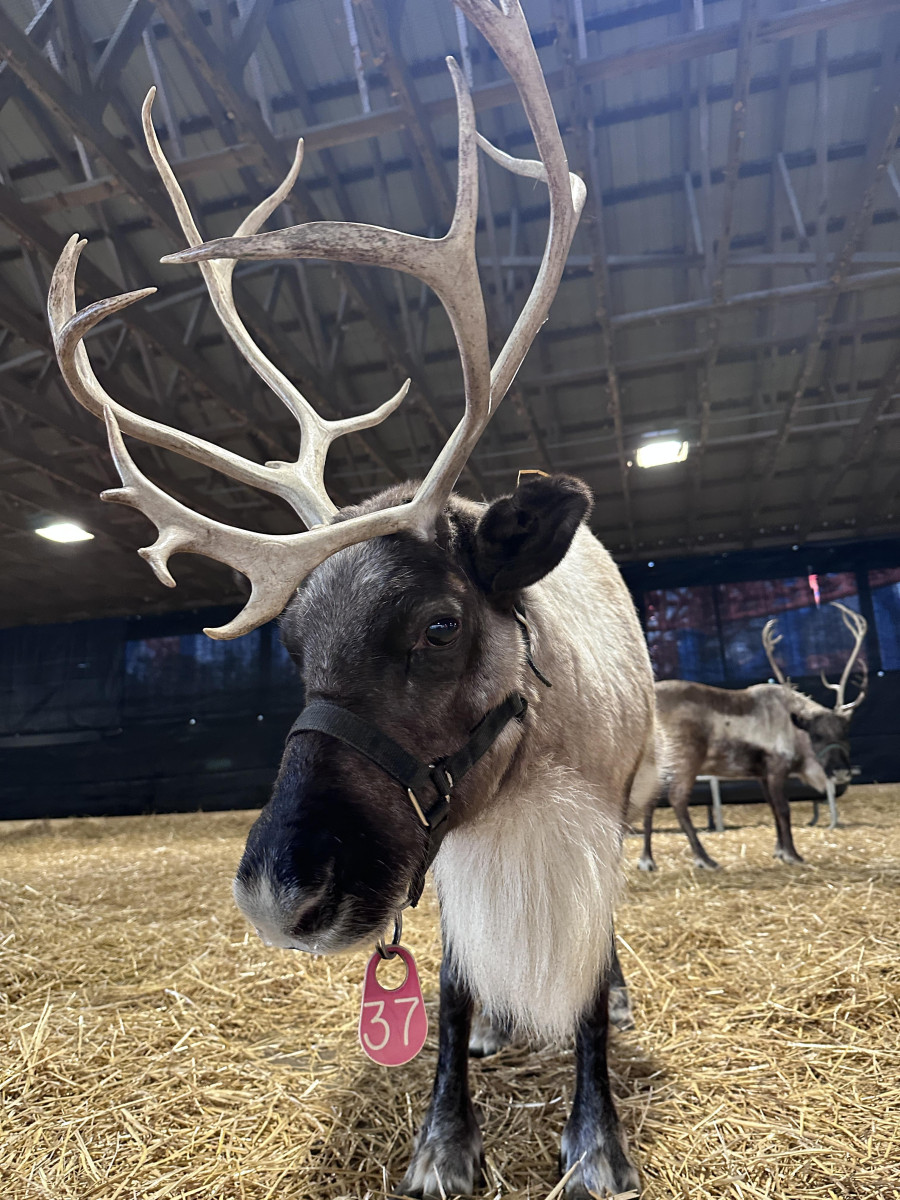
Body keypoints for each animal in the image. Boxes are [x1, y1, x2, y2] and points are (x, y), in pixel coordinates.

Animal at [46, 3, 665, 1196]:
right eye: (291, 643)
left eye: (439, 624)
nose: (278, 892)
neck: (528, 788)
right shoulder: (454, 855)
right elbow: (457, 989)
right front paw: (443, 1144)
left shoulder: (596, 831)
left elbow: (585, 991)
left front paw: (595, 1144)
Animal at [640, 603, 867, 872]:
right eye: (817, 734)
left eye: (845, 732)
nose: (841, 772)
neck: (795, 728)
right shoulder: (776, 767)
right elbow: (783, 809)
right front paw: (792, 854)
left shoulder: (761, 773)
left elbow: (772, 807)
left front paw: (779, 850)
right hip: (687, 758)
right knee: (677, 799)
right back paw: (704, 858)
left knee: (649, 800)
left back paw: (647, 860)